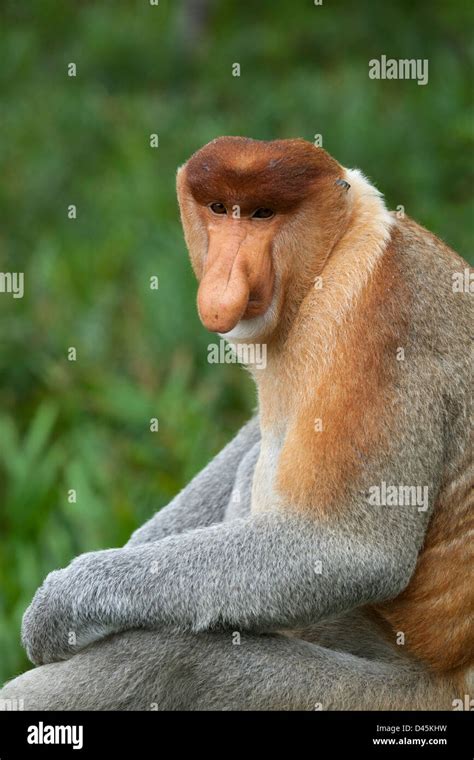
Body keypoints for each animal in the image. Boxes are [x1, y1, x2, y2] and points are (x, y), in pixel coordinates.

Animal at [0, 137, 472, 711]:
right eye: (220, 209)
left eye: (264, 214)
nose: (222, 280)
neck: (335, 253)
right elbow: (253, 434)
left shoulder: (382, 324)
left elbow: (349, 551)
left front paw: (61, 605)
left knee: (168, 659)